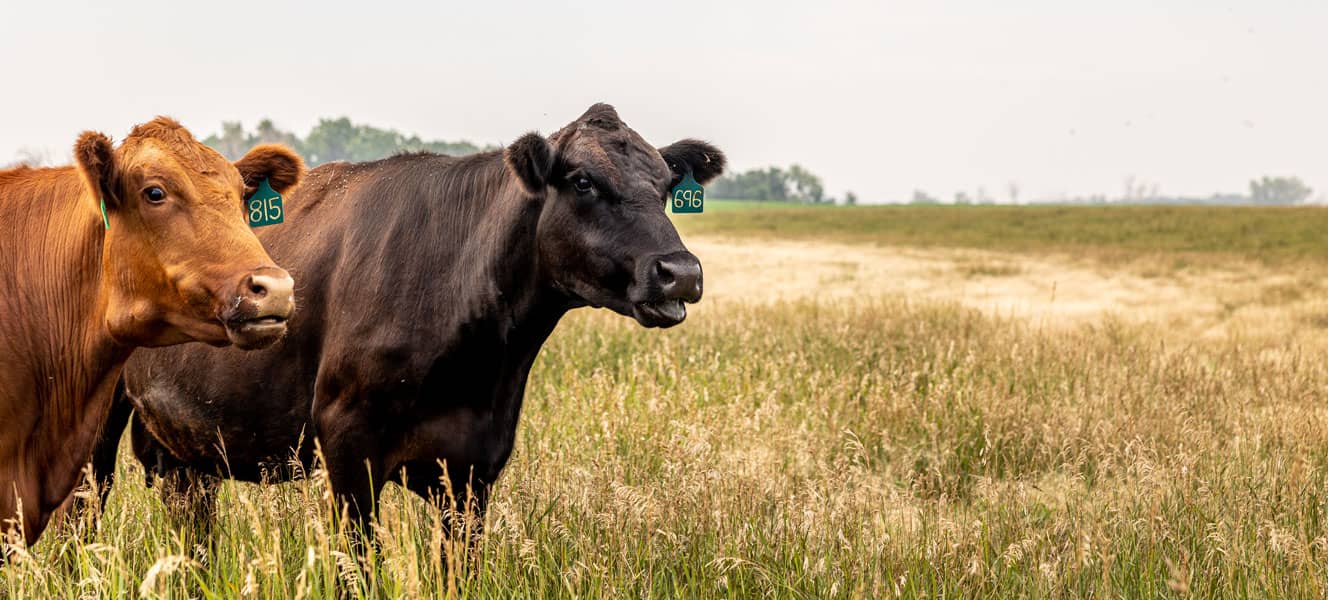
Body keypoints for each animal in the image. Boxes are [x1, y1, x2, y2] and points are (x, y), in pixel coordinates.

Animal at [87, 104, 724, 549]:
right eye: (585, 181)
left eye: (667, 187)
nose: (680, 272)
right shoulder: (349, 453)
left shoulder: (473, 473)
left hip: (186, 446)